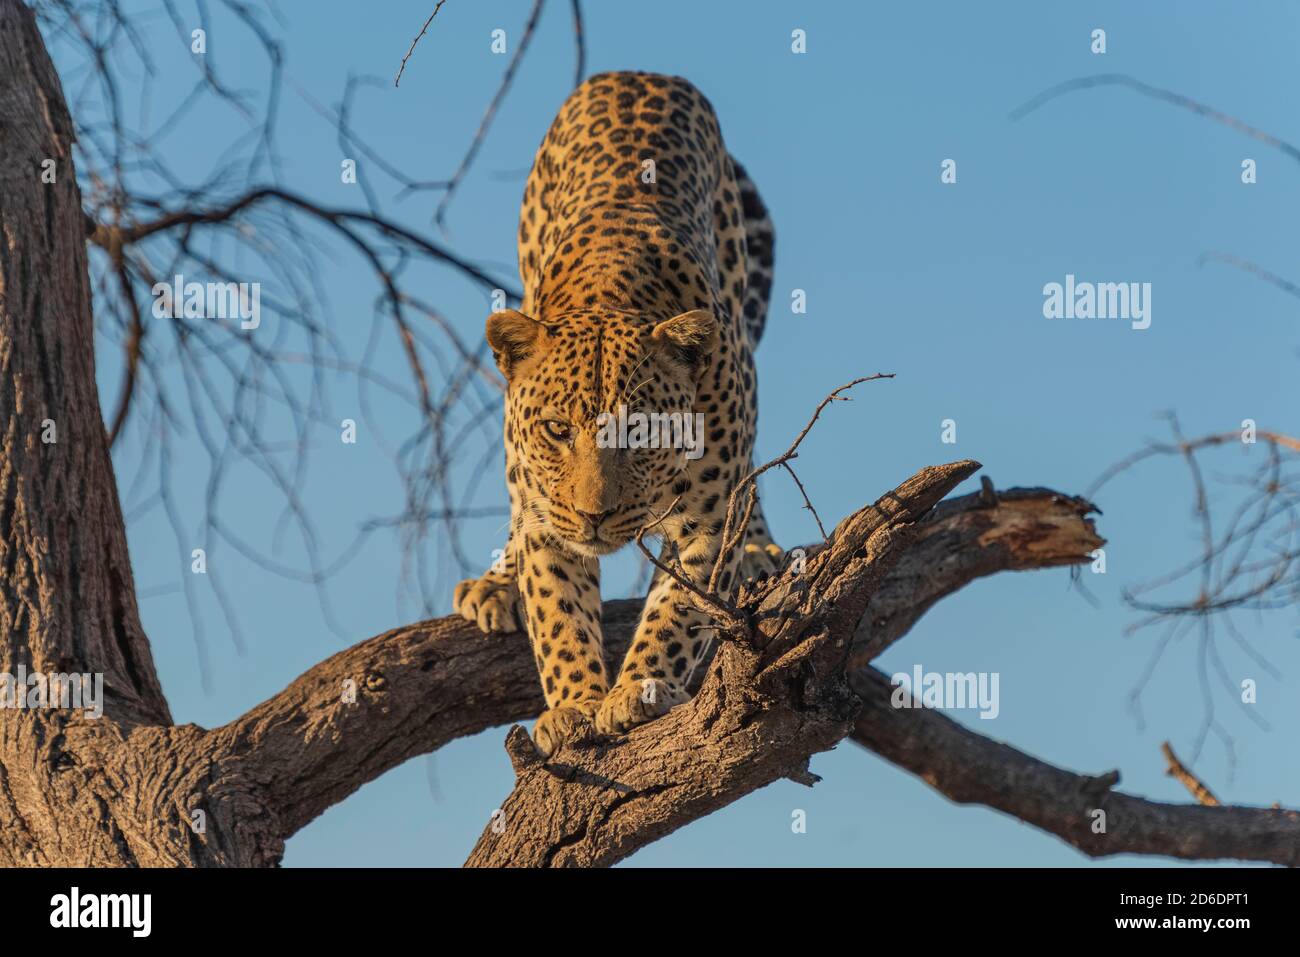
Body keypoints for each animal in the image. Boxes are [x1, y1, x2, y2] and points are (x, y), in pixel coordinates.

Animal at [454, 70, 780, 756]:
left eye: (641, 431)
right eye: (557, 430)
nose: (593, 515)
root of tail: (639, 71)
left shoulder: (710, 518)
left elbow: (680, 609)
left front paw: (640, 690)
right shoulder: (546, 518)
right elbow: (557, 611)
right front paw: (574, 705)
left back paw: (762, 551)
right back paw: (493, 583)